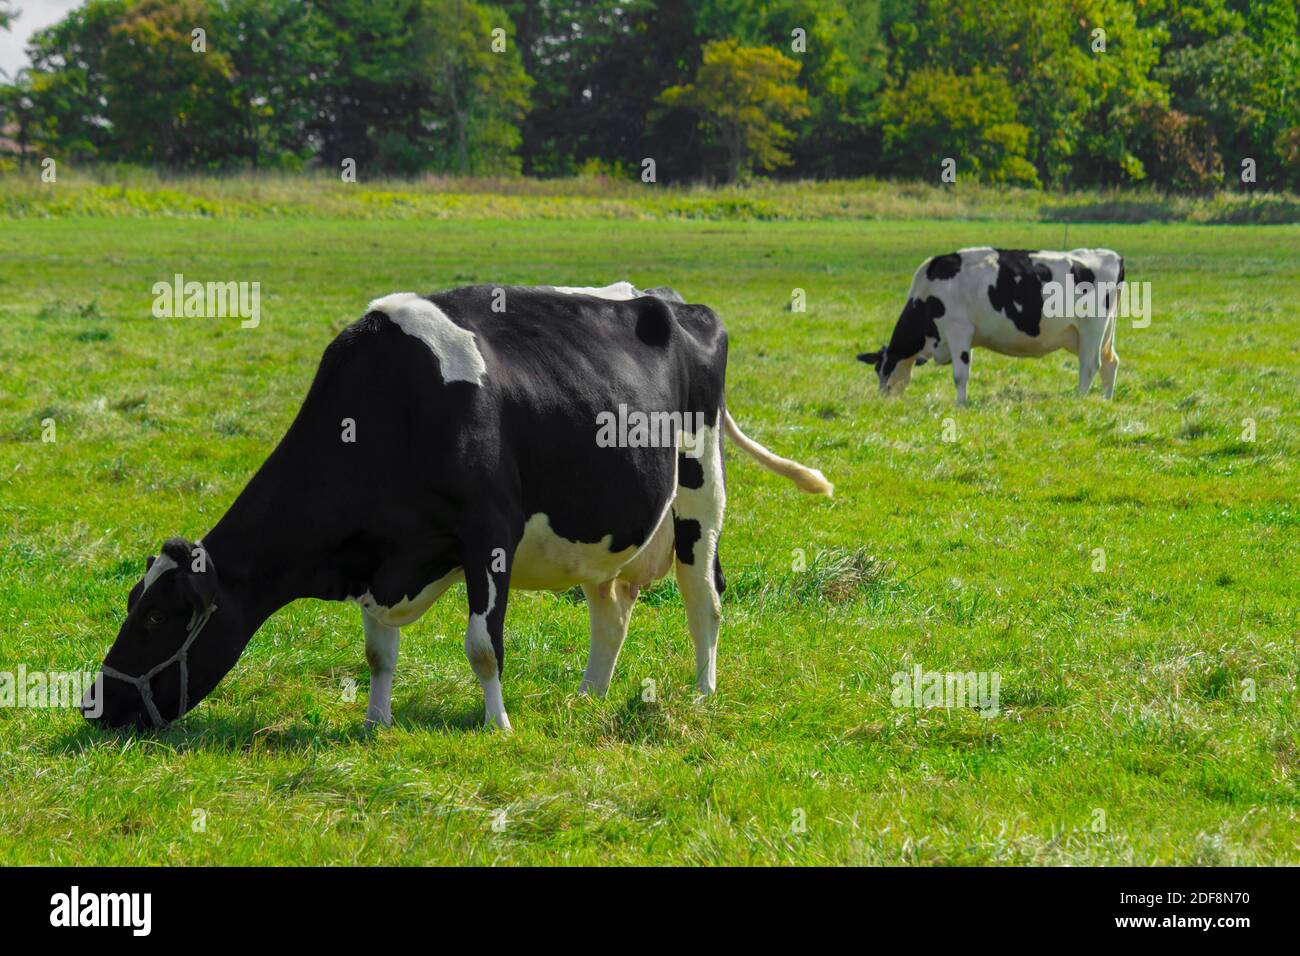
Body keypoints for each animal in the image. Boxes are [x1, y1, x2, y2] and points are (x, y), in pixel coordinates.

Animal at [84, 282, 832, 733]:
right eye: (133, 604)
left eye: (157, 617)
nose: (96, 703)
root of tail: (673, 300)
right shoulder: (387, 556)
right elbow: (378, 649)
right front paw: (377, 722)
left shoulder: (487, 532)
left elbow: (483, 645)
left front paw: (497, 725)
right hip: (608, 527)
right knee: (612, 608)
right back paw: (587, 696)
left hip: (699, 490)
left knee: (703, 596)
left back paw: (703, 694)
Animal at [857, 247, 1125, 404]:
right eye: (876, 370)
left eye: (883, 369)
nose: (883, 399)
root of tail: (1112, 255)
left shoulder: (959, 329)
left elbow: (960, 374)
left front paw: (960, 405)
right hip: (1097, 333)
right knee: (1110, 362)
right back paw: (1106, 400)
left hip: (1091, 327)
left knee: (1090, 364)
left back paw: (1078, 399)